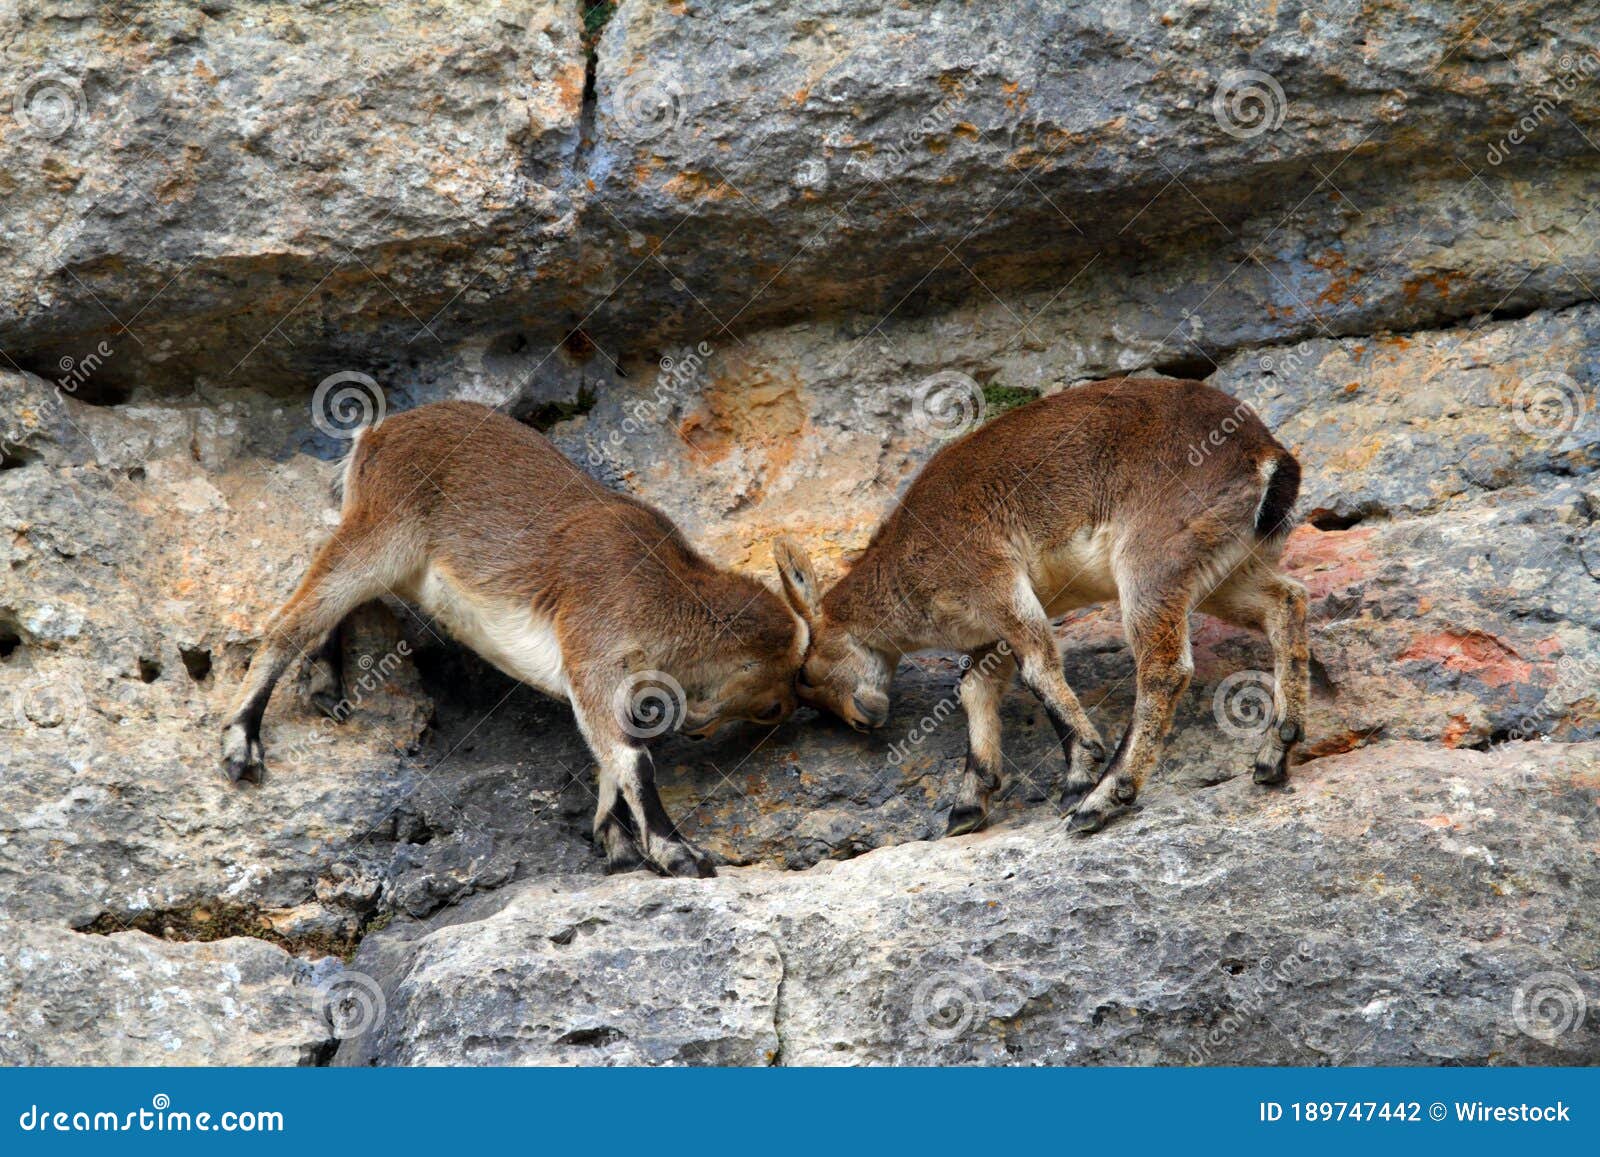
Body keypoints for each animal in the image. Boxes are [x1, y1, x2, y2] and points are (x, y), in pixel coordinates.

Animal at [221, 401, 805, 877]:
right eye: (771, 707)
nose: (699, 727)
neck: (669, 588)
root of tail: (376, 431)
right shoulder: (593, 649)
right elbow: (634, 761)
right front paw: (679, 854)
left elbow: (610, 760)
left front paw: (615, 843)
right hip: (382, 534)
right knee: (290, 620)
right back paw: (241, 742)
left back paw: (325, 681)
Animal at [775, 377, 1308, 836]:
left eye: (806, 672)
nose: (862, 719)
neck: (906, 563)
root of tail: (1266, 455)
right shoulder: (987, 631)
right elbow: (975, 688)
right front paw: (968, 804)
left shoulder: (996, 582)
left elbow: (1038, 669)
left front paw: (1078, 774)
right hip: (1223, 570)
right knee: (1287, 601)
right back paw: (1275, 750)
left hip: (1151, 559)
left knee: (1165, 668)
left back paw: (1103, 799)